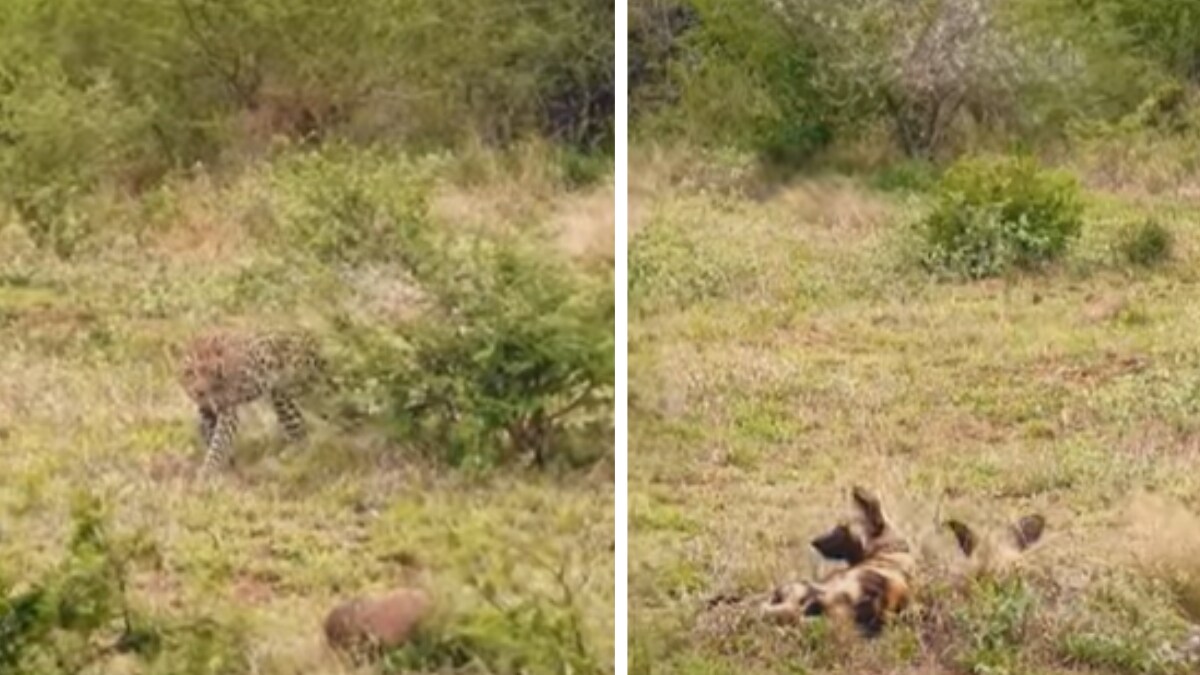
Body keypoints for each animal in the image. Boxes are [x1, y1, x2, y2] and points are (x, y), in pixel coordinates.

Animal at [178, 327, 329, 474]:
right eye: (190, 372)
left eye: (212, 371)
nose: (200, 391)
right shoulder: (206, 411)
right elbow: (210, 435)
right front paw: (226, 464)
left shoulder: (228, 409)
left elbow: (219, 442)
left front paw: (207, 472)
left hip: (286, 391)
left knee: (301, 427)